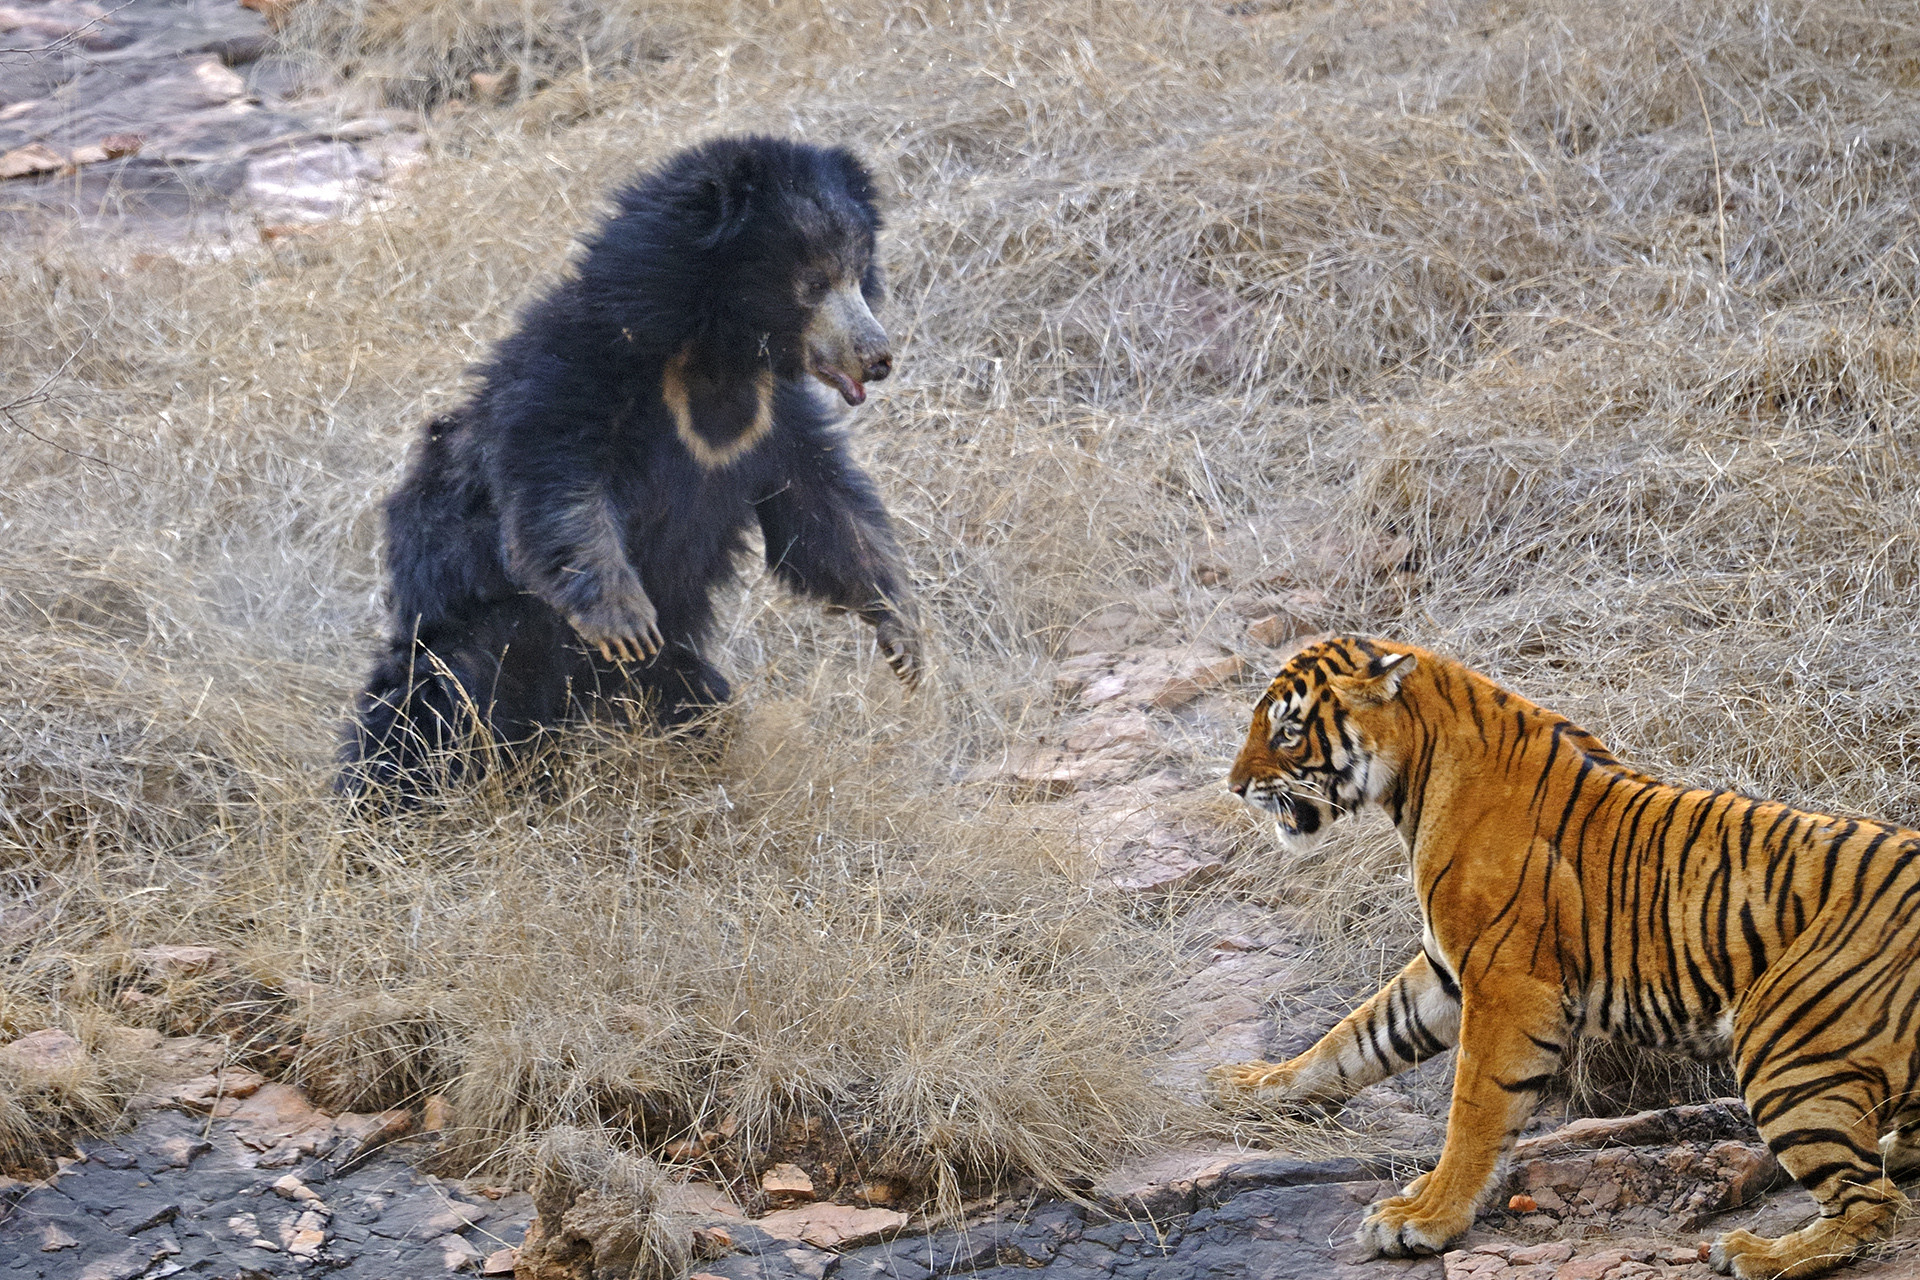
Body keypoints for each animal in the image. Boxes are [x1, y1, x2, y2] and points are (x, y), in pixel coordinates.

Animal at [1211, 634, 1920, 1280]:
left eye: (1288, 733)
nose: (1236, 787)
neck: (1415, 779)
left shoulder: (1506, 983)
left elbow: (1473, 1111)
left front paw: (1424, 1217)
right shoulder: (1445, 972)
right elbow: (1354, 1038)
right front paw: (1254, 1085)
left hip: (1786, 1047)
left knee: (1874, 1205)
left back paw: (1757, 1253)